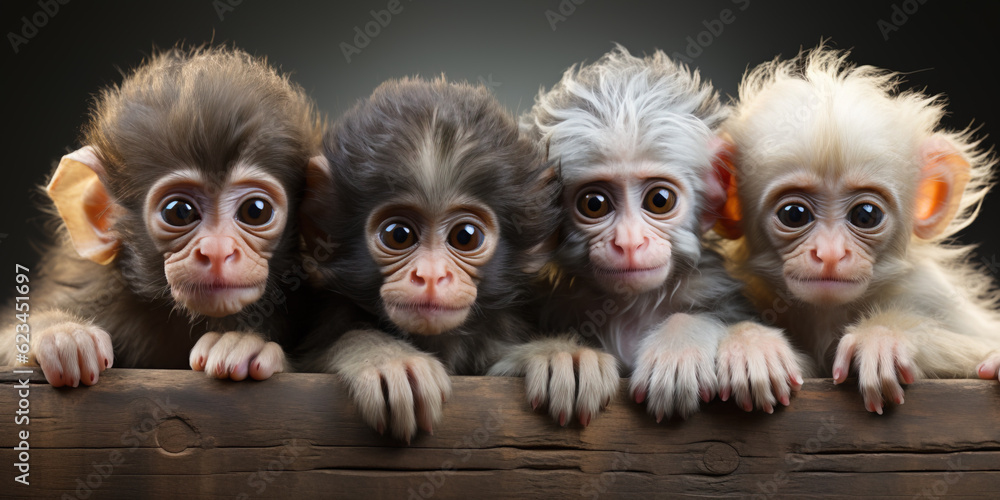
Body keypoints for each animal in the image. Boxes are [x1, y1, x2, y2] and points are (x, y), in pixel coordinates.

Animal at [717, 45, 1000, 414]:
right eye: (794, 215)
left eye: (866, 216)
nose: (830, 253)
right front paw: (753, 345)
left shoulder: (928, 292)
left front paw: (883, 337)